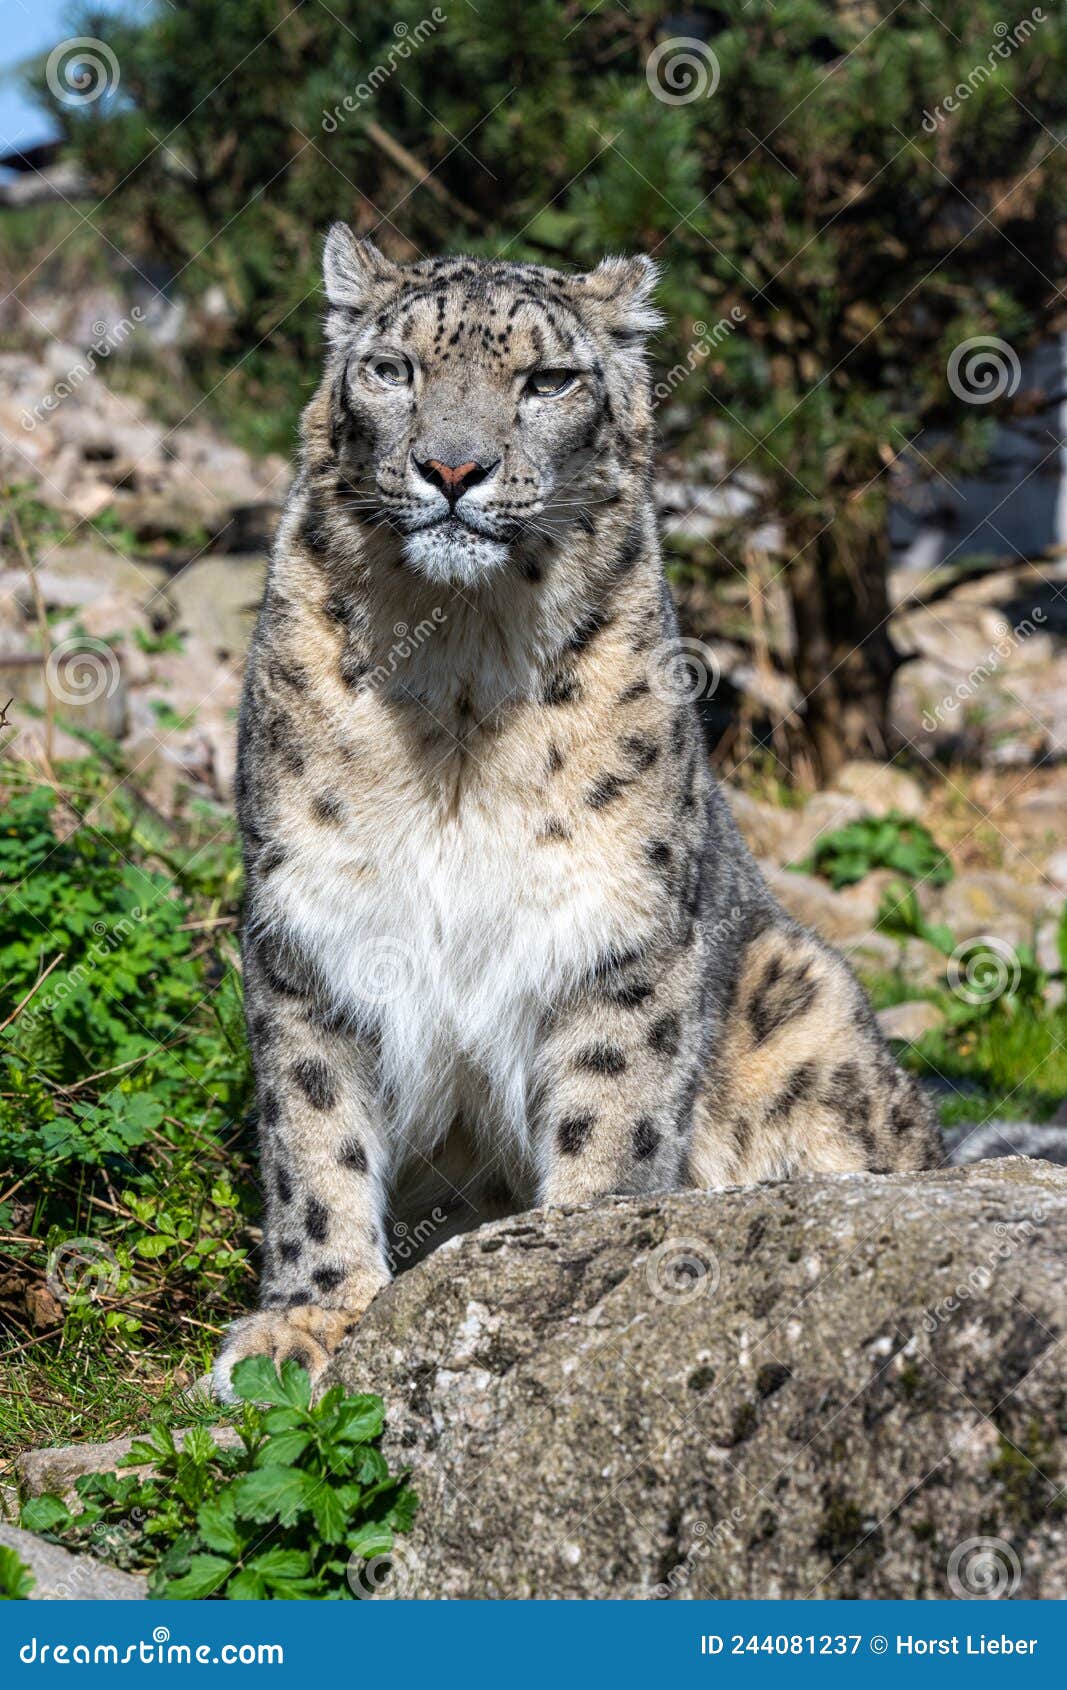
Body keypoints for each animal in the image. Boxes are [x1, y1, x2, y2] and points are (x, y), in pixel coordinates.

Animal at [212, 226, 939, 1397]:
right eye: (393, 370)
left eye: (547, 380)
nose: (451, 468)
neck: (460, 686)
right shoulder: (312, 920)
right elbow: (313, 1133)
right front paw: (307, 1322)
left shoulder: (616, 920)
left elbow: (609, 1103)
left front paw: (573, 1267)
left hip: (805, 1001)